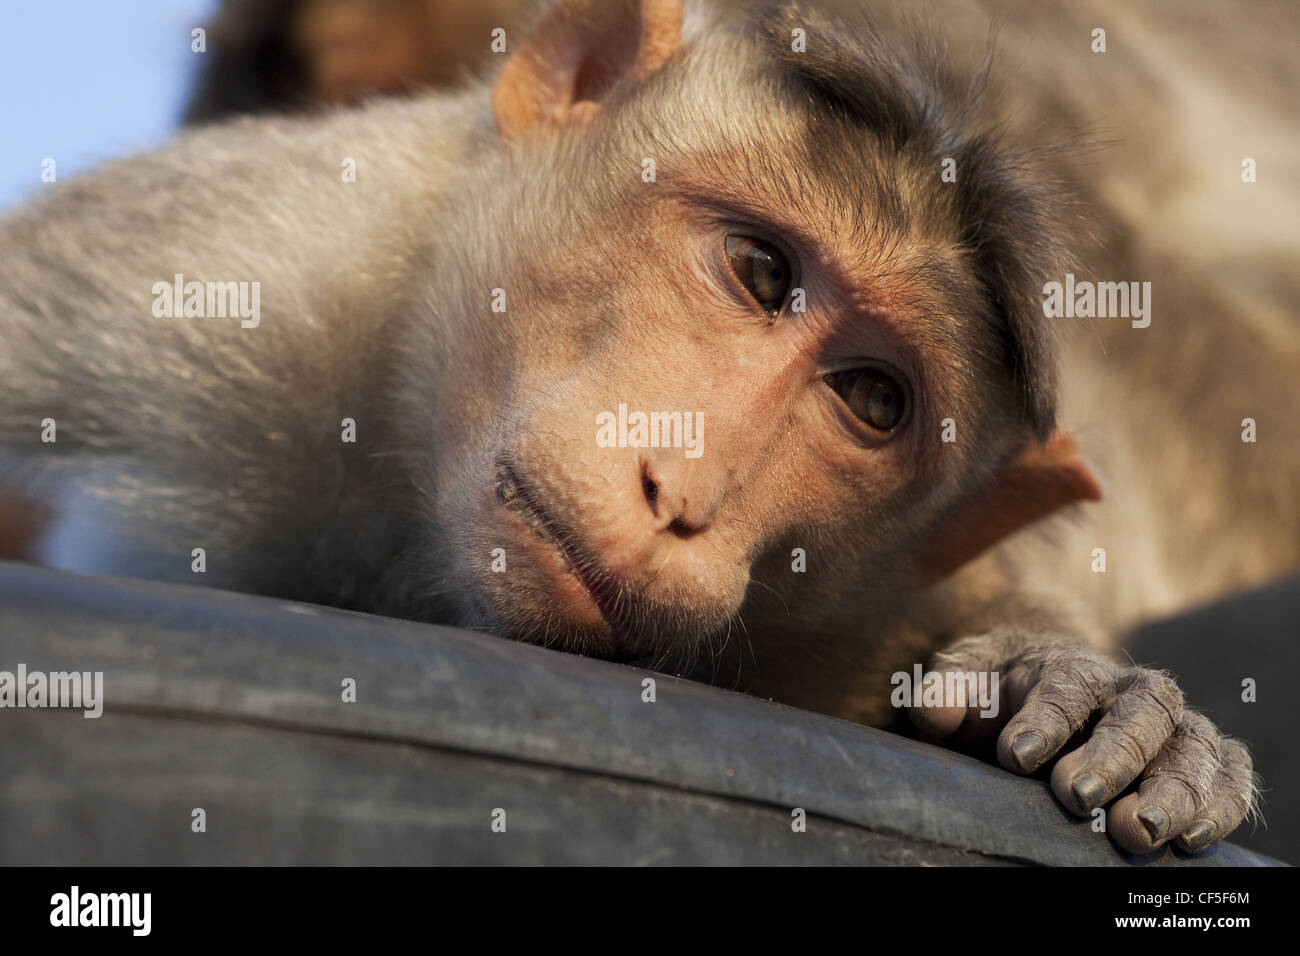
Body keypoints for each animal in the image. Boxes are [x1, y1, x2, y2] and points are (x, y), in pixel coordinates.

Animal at [2, 0, 1294, 858]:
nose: (681, 493)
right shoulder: (239, 255)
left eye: (874, 401)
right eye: (761, 271)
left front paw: (1086, 689)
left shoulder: (864, 606)